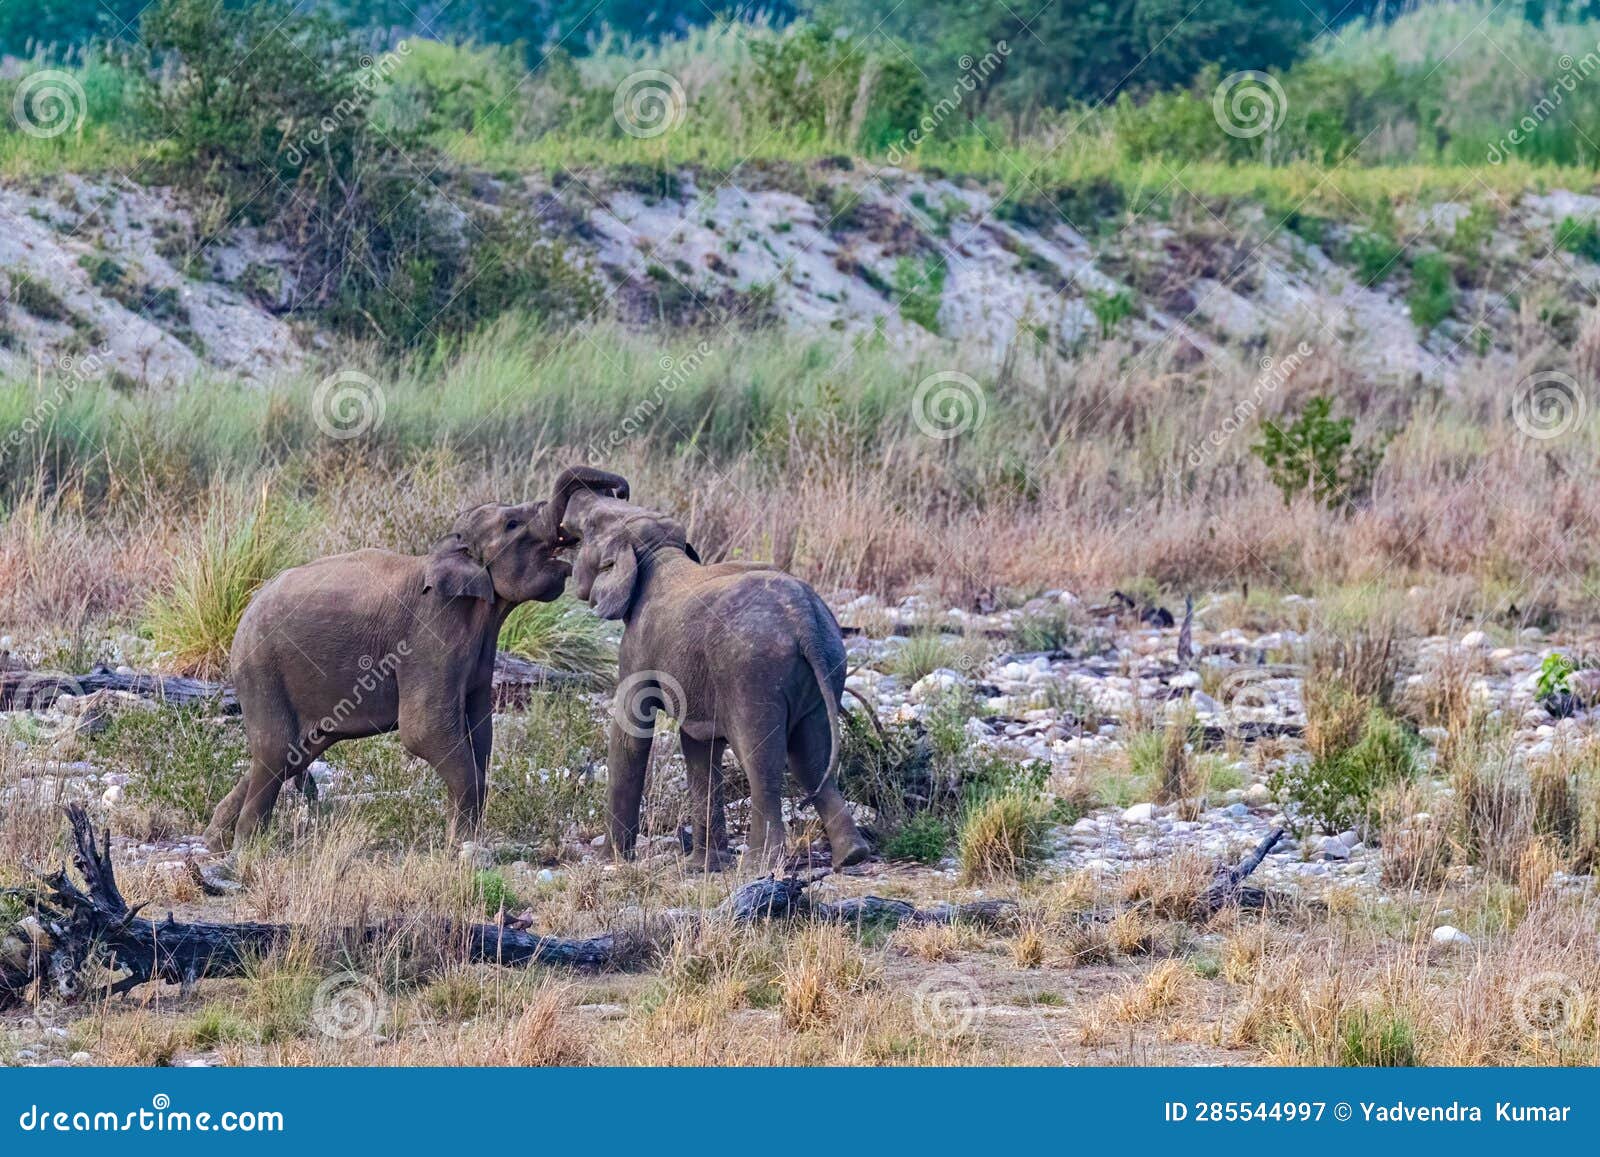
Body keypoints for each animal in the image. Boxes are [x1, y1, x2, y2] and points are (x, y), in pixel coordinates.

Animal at [202, 467, 630, 851]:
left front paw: (467, 840)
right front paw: (461, 847)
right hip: (261, 667)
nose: (621, 492)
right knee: (276, 751)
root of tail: (247, 610)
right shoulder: (430, 635)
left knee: (295, 752)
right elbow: (425, 730)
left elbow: (480, 731)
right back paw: (246, 848)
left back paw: (215, 841)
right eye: (512, 524)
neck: (448, 549)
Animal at [553, 486, 873, 871]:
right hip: (828, 661)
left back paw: (758, 864)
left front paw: (609, 861)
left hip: (753, 674)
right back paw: (852, 856)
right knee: (810, 759)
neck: (659, 553)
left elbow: (631, 735)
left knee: (761, 761)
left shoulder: (637, 647)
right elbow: (697, 745)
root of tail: (804, 619)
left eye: (590, 526)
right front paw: (703, 866)